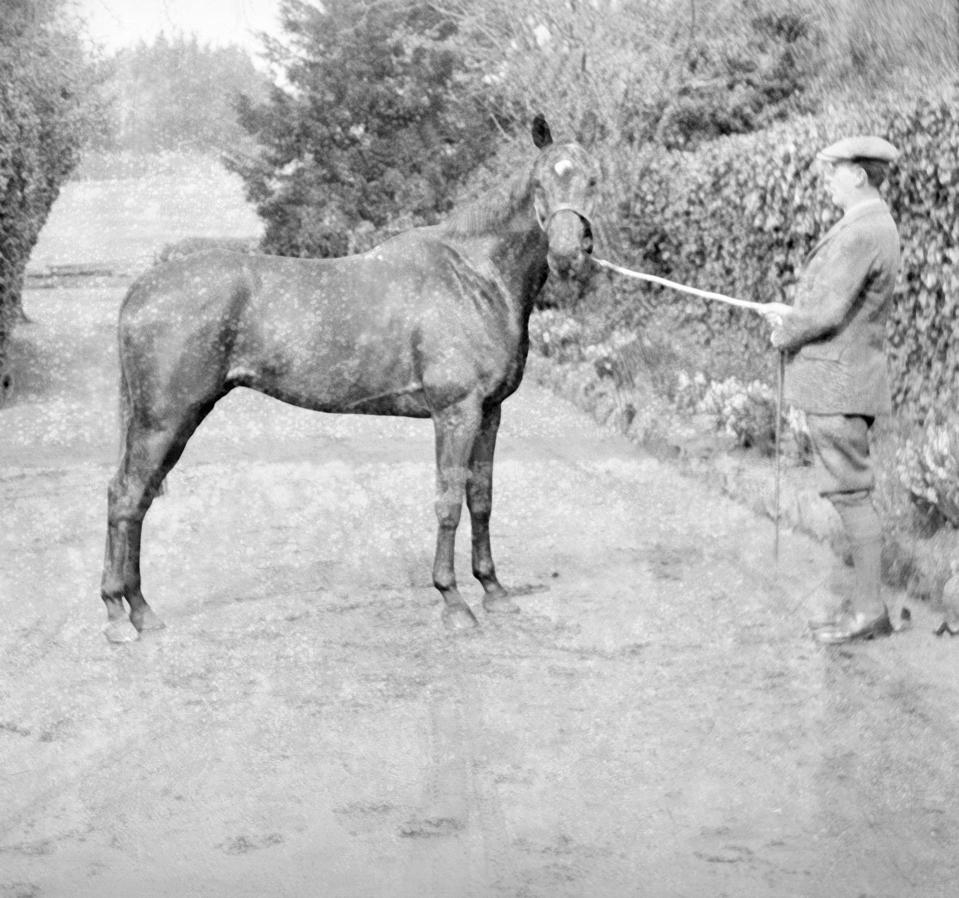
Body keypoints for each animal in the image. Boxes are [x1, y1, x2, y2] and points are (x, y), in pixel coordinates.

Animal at [100, 115, 599, 643]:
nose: (568, 254)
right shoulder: (455, 413)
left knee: (138, 499)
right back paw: (117, 616)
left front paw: (495, 591)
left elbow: (480, 499)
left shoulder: (489, 413)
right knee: (126, 496)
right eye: (541, 183)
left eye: (593, 180)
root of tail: (142, 288)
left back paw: (141, 610)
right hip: (165, 418)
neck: (474, 275)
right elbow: (448, 502)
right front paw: (453, 601)